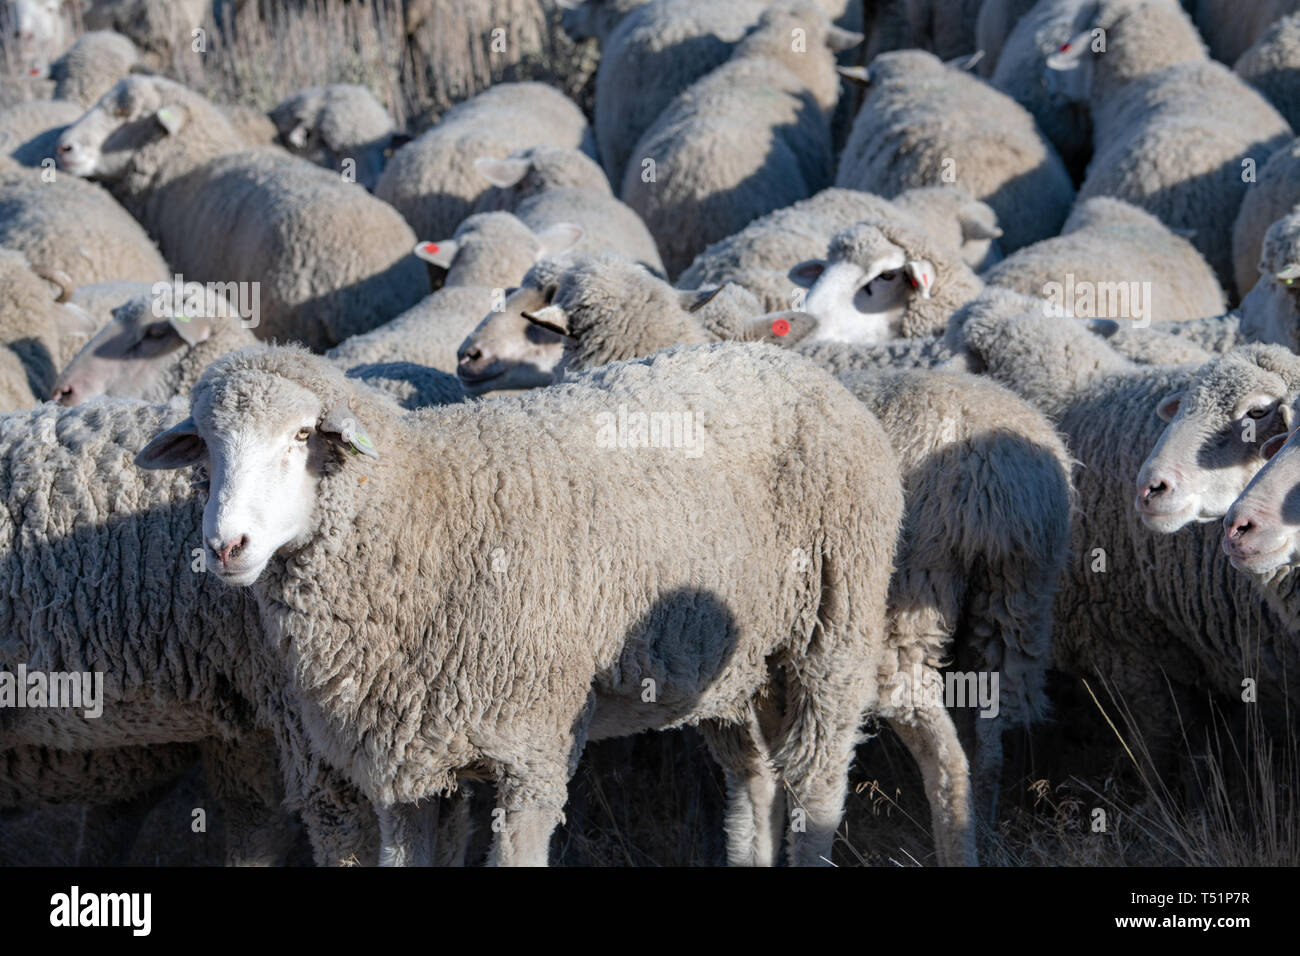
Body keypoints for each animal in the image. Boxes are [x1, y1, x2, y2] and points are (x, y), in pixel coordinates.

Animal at [133, 343, 939, 866]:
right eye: (205, 446)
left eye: (303, 434)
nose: (226, 545)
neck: (423, 509)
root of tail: (804, 368)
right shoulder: (402, 762)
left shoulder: (532, 746)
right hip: (734, 664)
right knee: (754, 781)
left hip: (832, 628)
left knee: (818, 779)